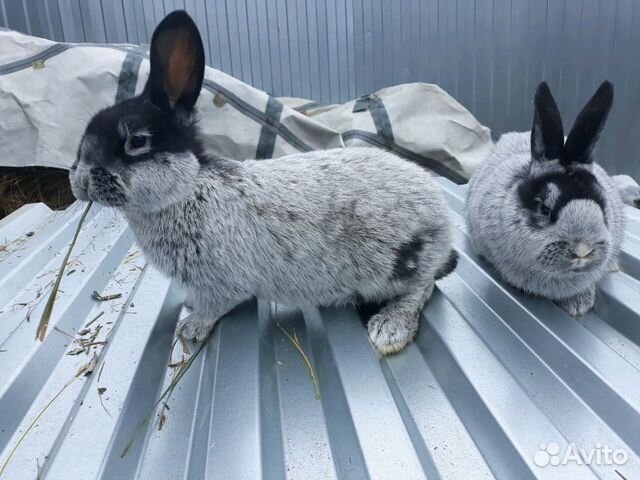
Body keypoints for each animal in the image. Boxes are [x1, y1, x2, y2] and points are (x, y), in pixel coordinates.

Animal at [68, 11, 457, 356]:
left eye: (136, 141)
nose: (80, 179)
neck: (188, 188)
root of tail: (443, 218)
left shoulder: (221, 284)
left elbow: (214, 307)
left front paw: (190, 328)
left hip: (397, 266)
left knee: (423, 287)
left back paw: (390, 329)